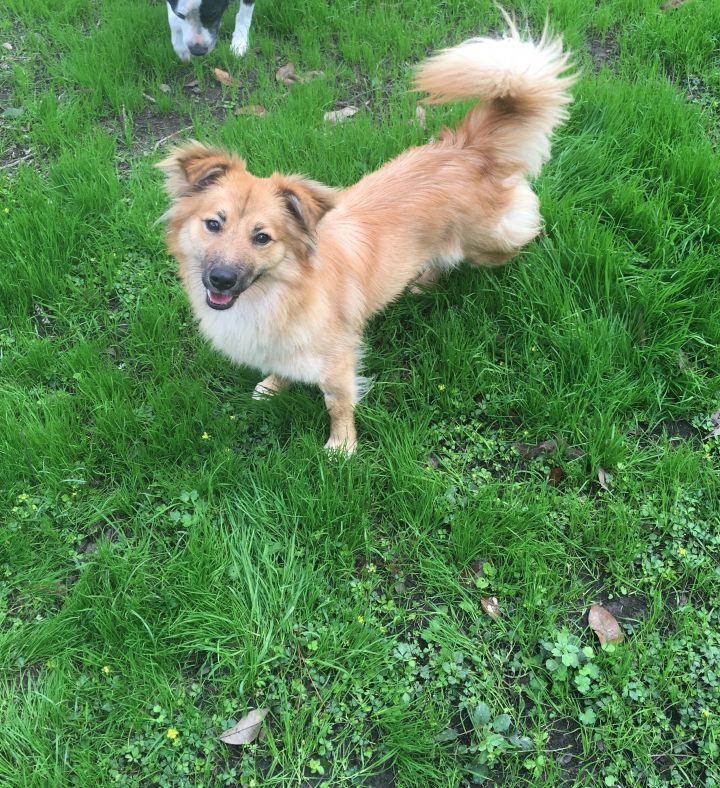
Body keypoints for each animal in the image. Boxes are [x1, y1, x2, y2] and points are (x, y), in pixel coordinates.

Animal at [158, 24, 572, 452]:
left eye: (262, 238)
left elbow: (337, 401)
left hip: (488, 242)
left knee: (519, 232)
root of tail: (468, 150)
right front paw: (274, 386)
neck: (275, 292)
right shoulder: (282, 342)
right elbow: (282, 366)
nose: (221, 279)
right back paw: (422, 281)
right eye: (213, 224)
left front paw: (342, 446)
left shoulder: (338, 355)